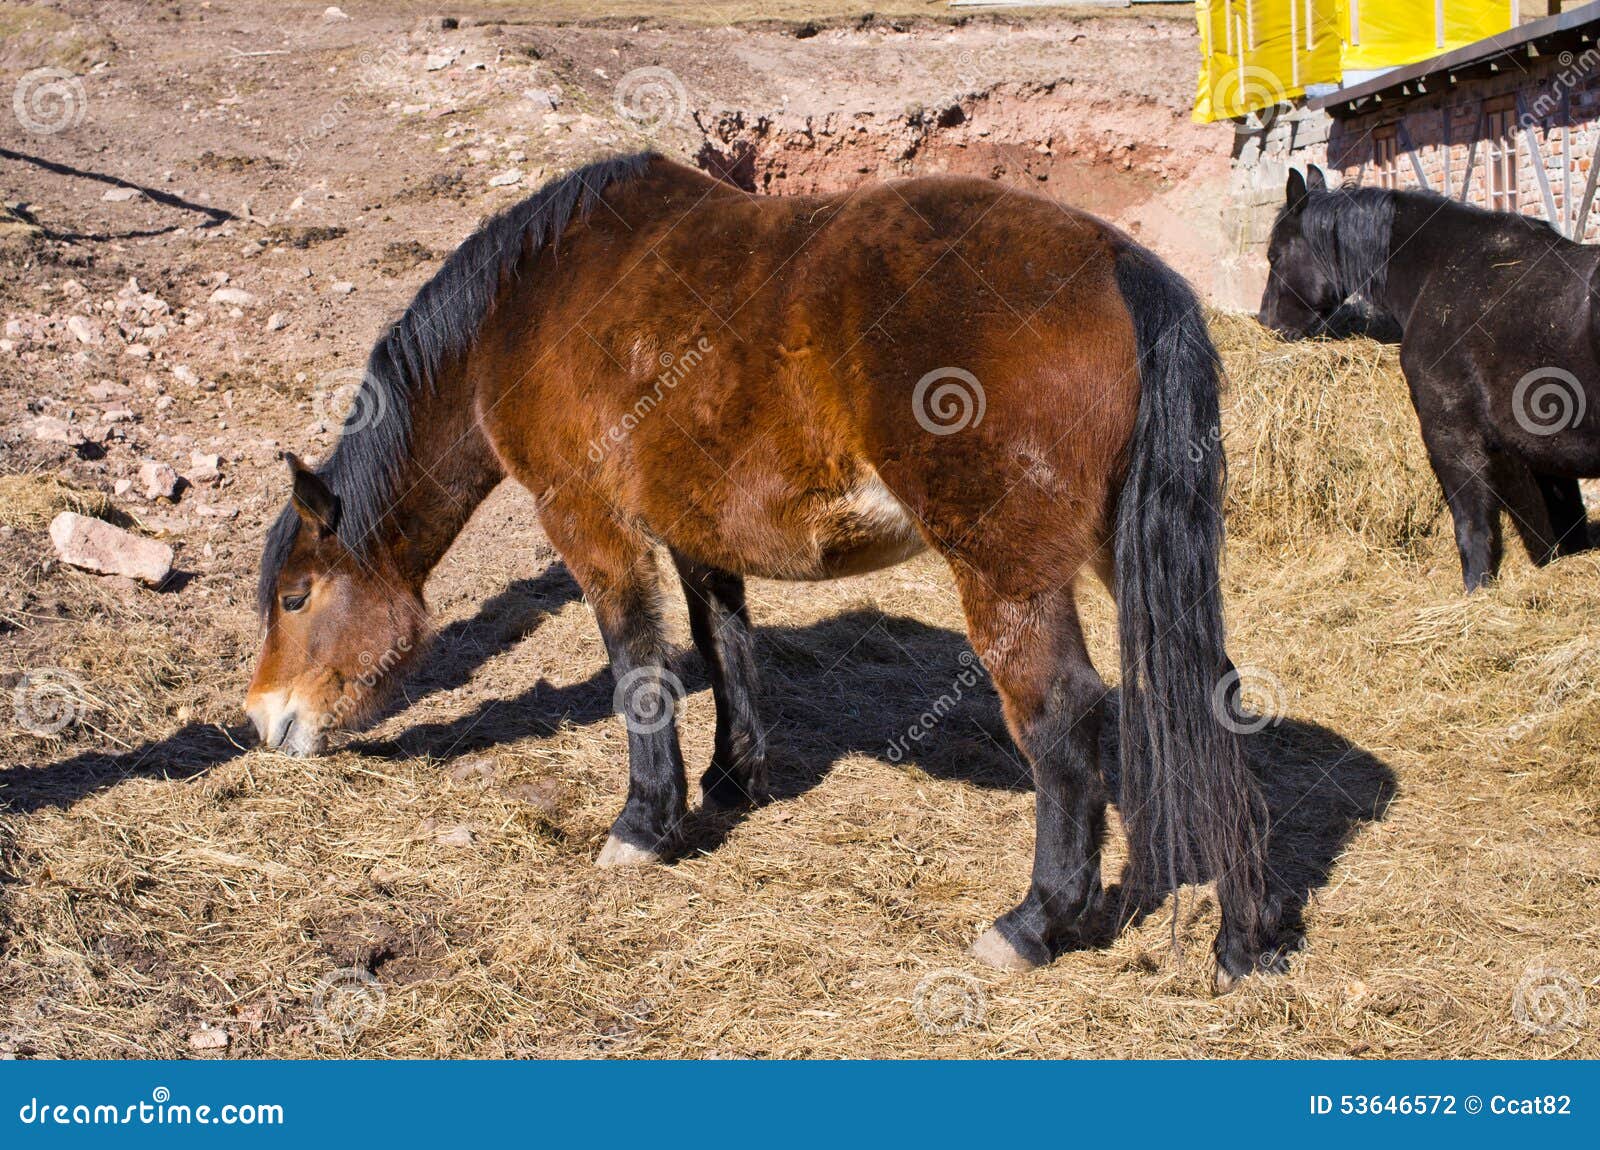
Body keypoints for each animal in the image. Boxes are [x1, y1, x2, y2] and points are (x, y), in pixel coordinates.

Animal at [247, 151, 1285, 989]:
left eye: (296, 596)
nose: (265, 723)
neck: (530, 301)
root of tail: (1117, 263)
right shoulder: (697, 528)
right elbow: (722, 642)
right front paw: (732, 779)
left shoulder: (589, 523)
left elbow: (639, 667)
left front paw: (643, 825)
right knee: (1210, 691)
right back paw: (1245, 938)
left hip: (1011, 578)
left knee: (1063, 717)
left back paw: (1034, 923)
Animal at [1259, 166, 1599, 591]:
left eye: (1274, 255)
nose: (1267, 323)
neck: (1446, 268)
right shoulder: (1546, 454)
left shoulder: (1450, 434)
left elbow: (1471, 525)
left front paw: (1476, 590)